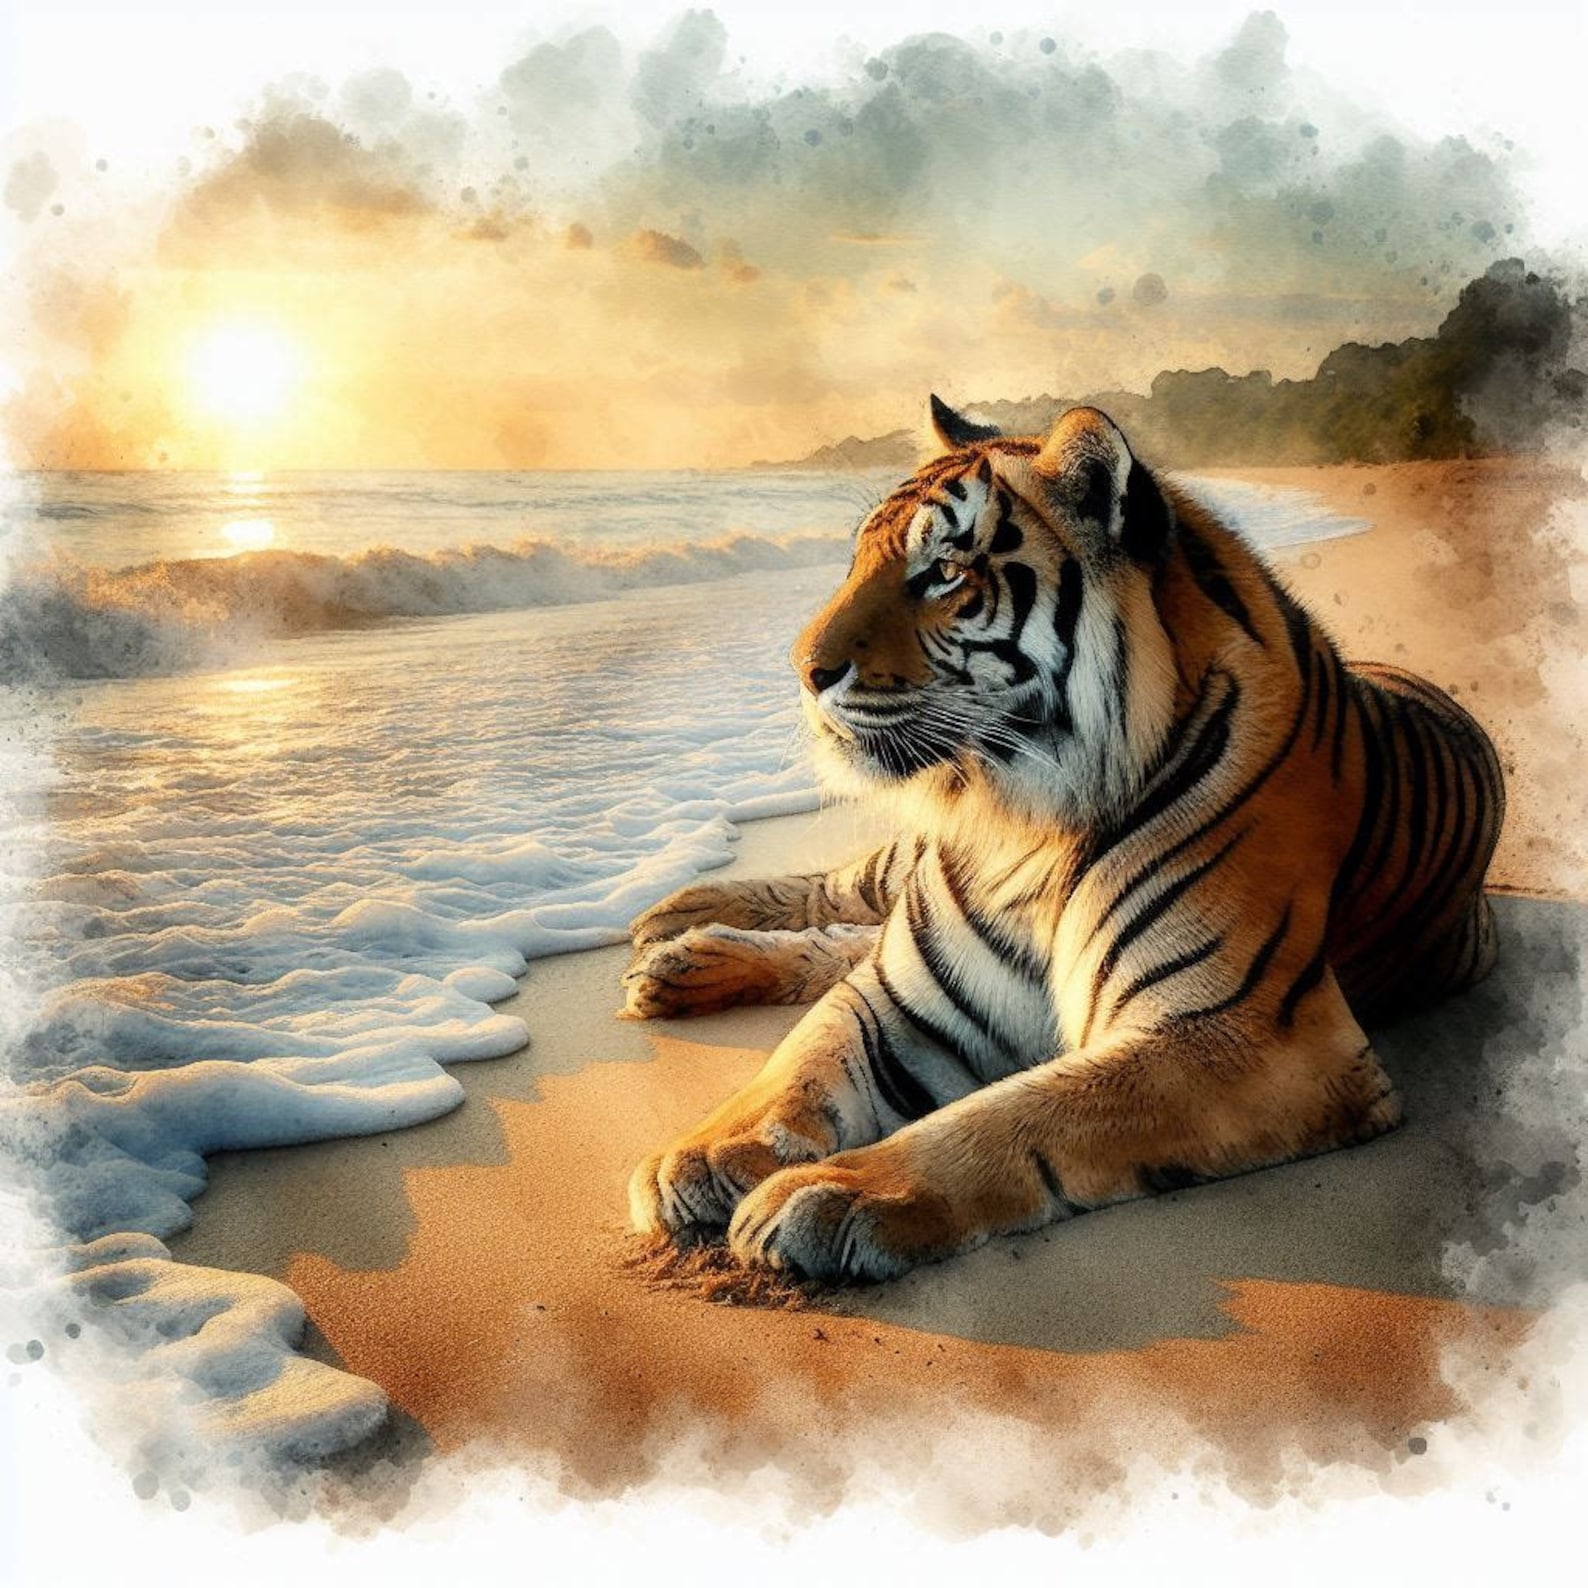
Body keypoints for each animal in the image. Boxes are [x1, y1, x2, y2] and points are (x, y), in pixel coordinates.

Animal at [623, 398, 1505, 1284]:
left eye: (944, 572)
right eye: (856, 562)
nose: (804, 671)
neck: (1019, 824)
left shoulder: (1247, 1036)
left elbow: (1009, 1116)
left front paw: (832, 1191)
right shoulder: (902, 997)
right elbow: (801, 1062)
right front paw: (706, 1155)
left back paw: (678, 961)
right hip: (899, 872)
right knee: (842, 900)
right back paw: (676, 931)